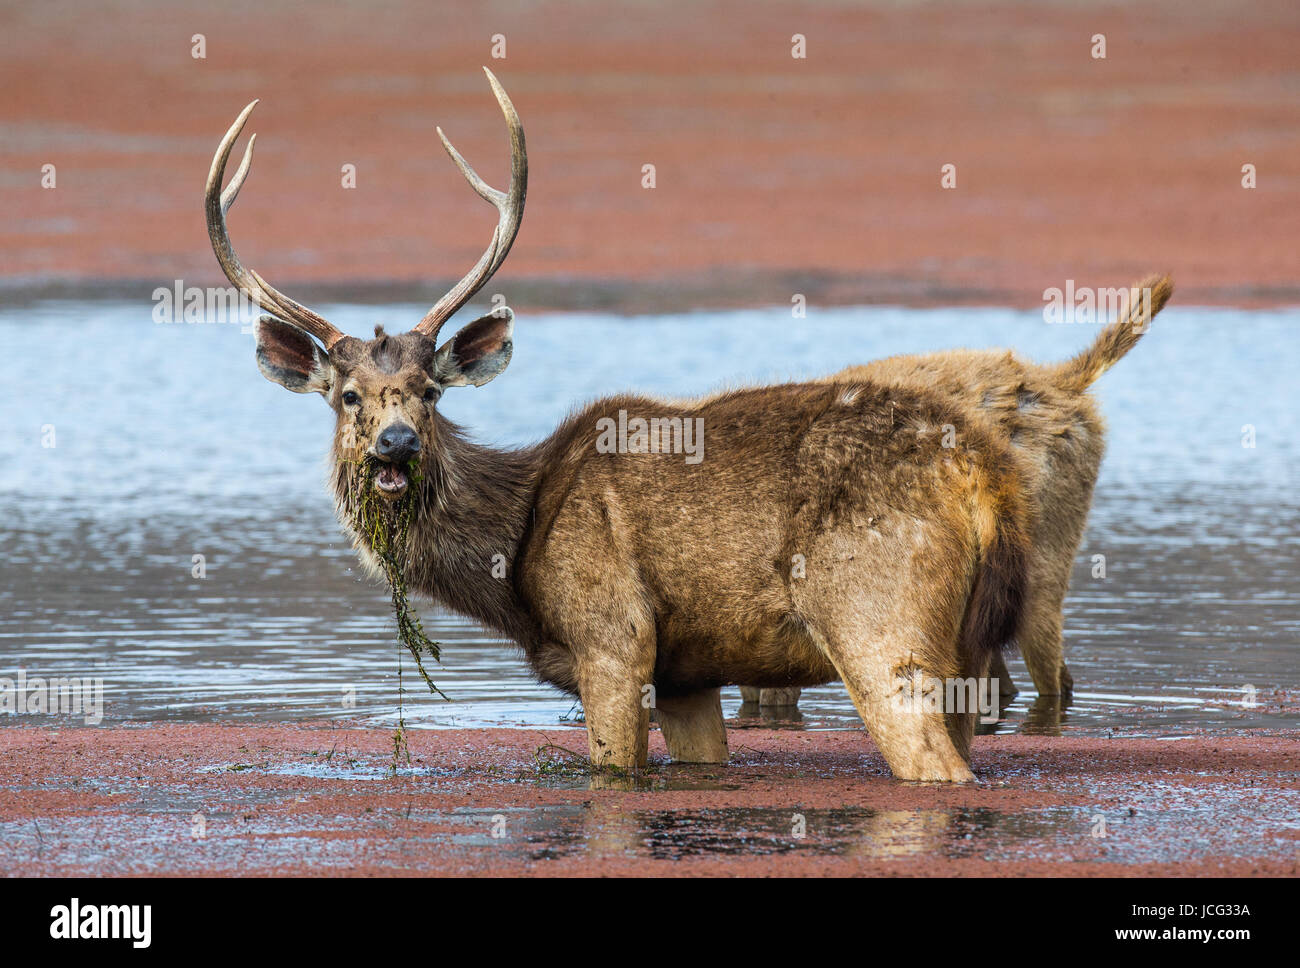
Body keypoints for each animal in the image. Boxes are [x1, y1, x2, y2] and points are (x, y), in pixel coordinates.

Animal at [206, 69, 1034, 782]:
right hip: (970, 644)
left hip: (879, 625)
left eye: (428, 393)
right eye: (348, 394)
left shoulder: (614, 640)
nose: (396, 444)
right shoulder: (686, 674)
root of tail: (985, 479)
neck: (517, 557)